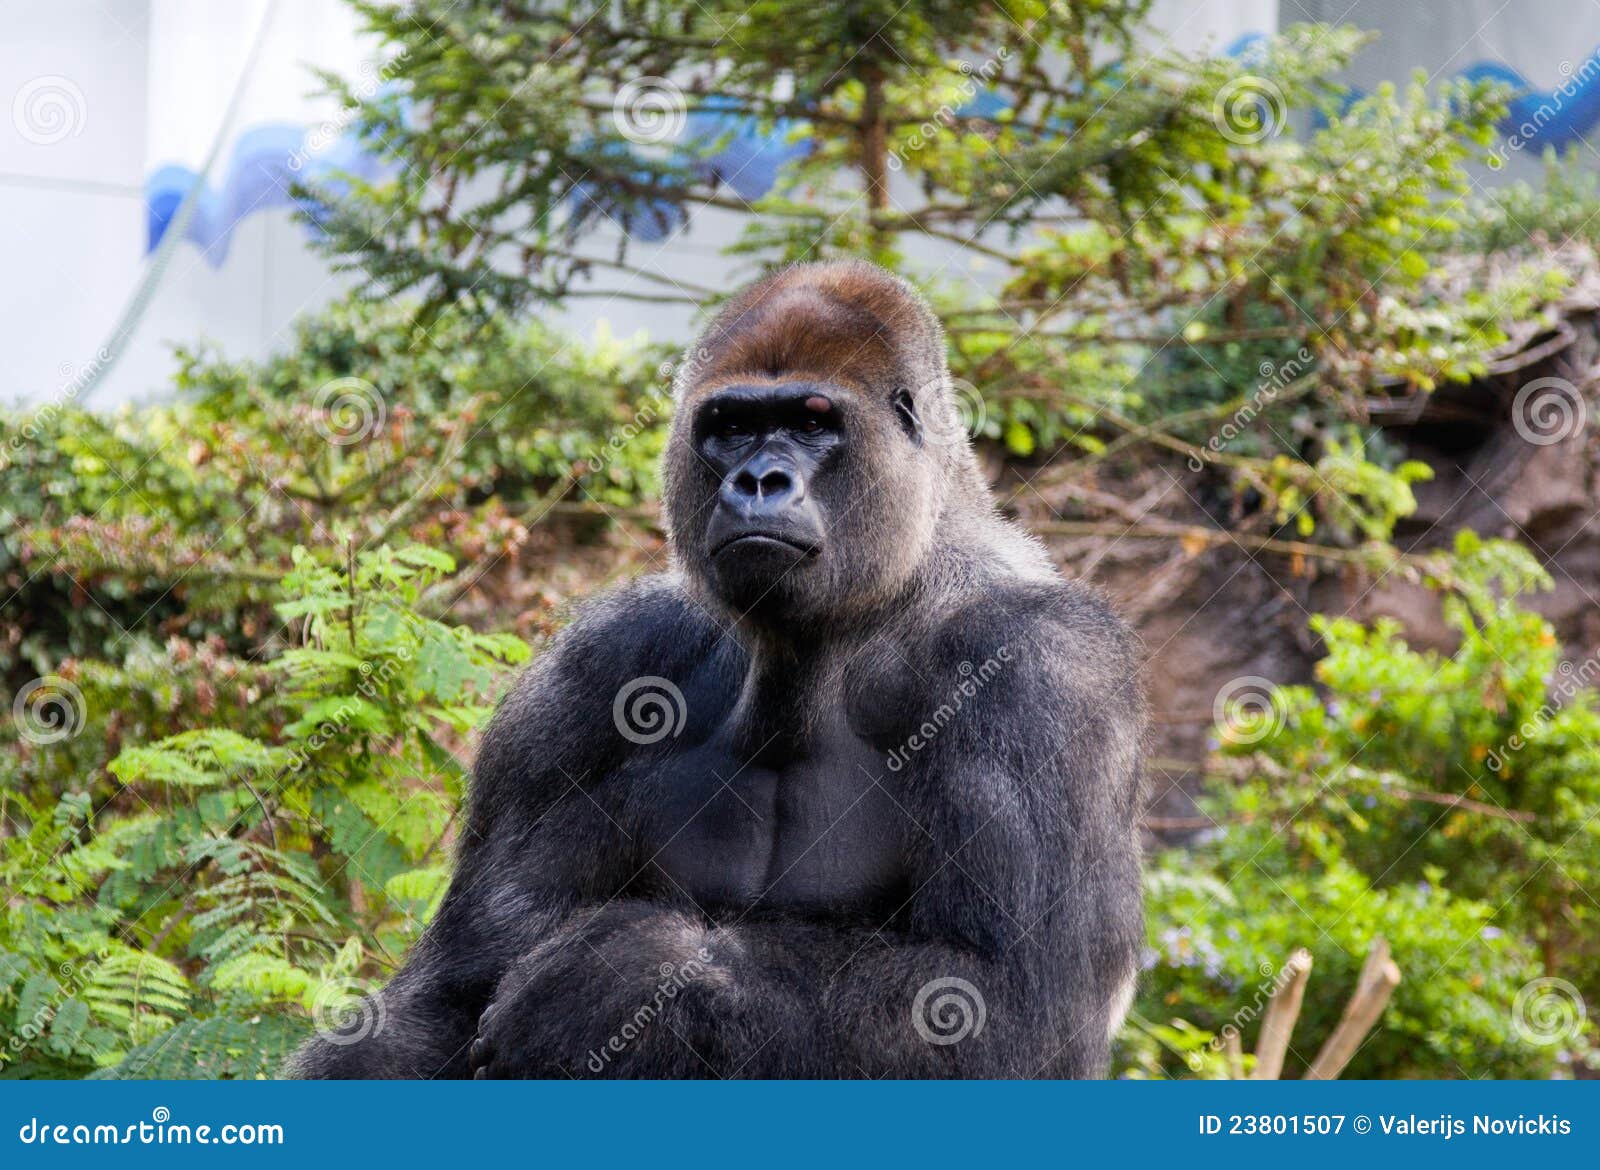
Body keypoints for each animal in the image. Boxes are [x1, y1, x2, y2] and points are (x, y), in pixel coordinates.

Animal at [288, 259, 1145, 1079]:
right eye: (731, 427)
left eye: (811, 424)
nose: (759, 481)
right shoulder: (596, 669)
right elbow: (449, 991)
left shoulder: (1039, 668)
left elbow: (1002, 1002)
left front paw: (620, 980)